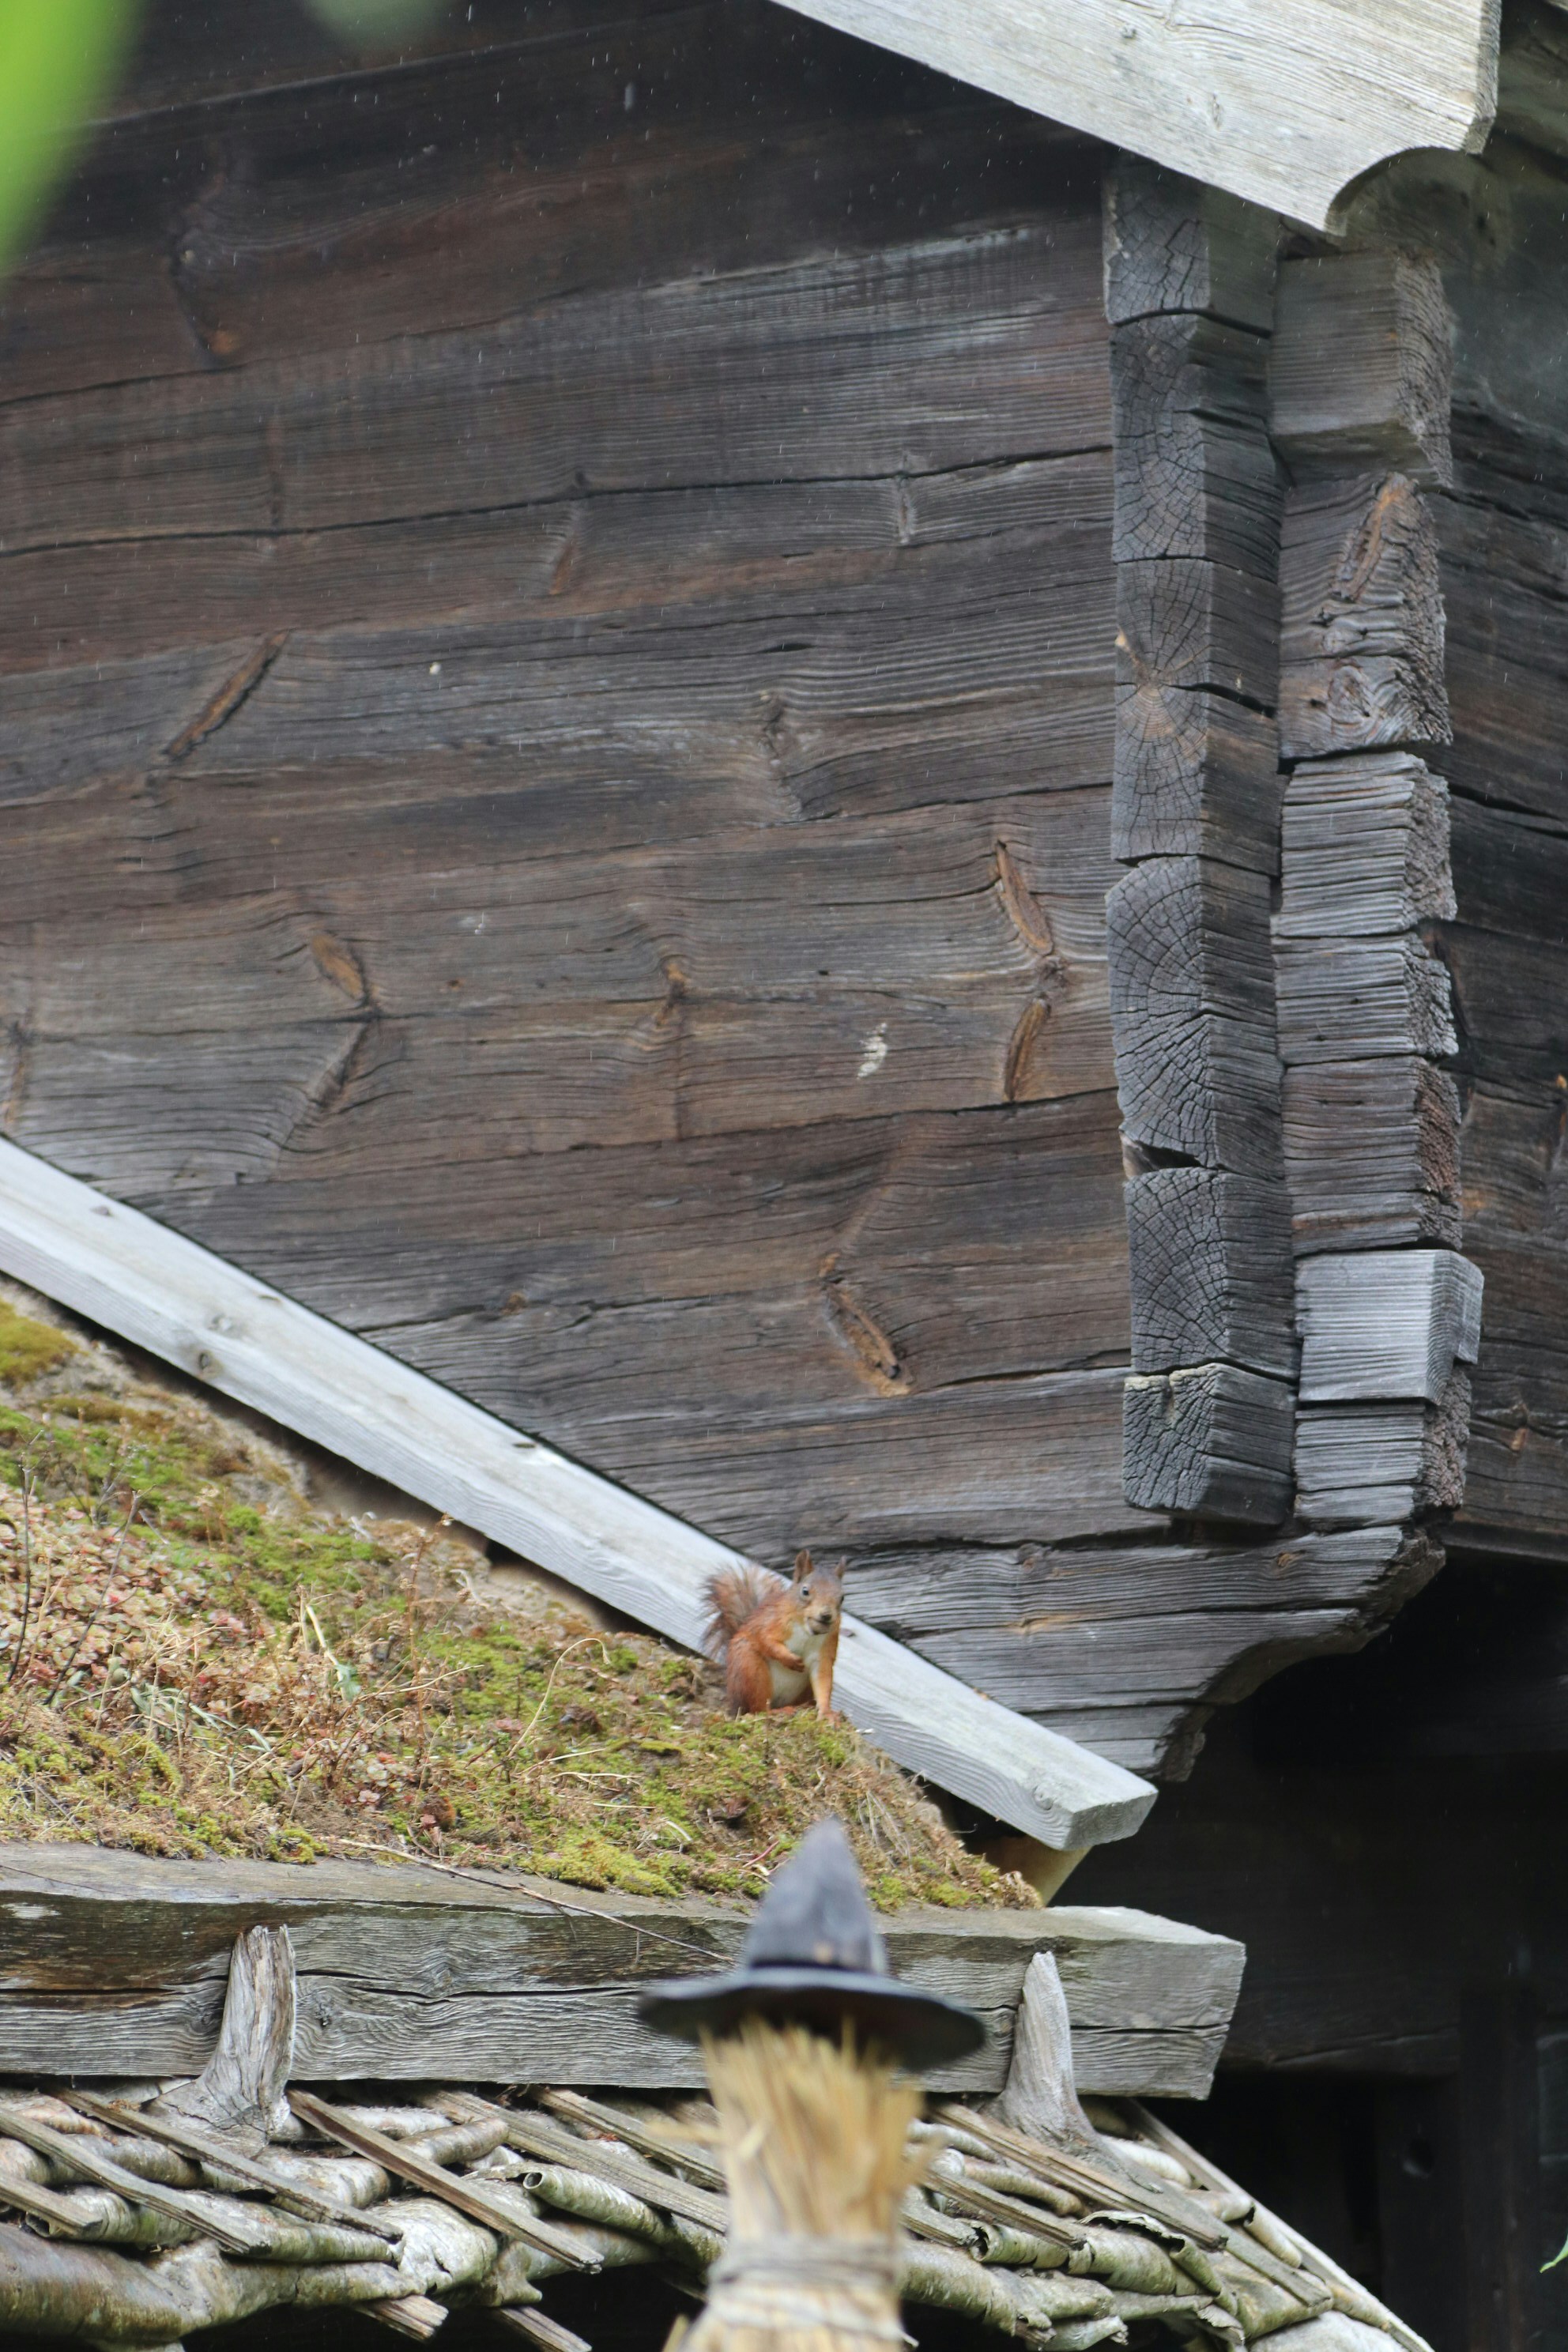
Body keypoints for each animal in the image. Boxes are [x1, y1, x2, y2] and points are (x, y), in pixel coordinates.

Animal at [704, 1551, 845, 1718]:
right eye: (805, 1591)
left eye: (842, 1598)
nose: (826, 1615)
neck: (807, 1630)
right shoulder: (772, 1621)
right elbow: (766, 1640)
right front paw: (789, 1659)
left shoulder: (825, 1649)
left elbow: (823, 1680)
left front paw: (827, 1712)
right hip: (750, 1669)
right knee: (758, 1709)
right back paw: (778, 1711)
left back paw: (801, 1707)